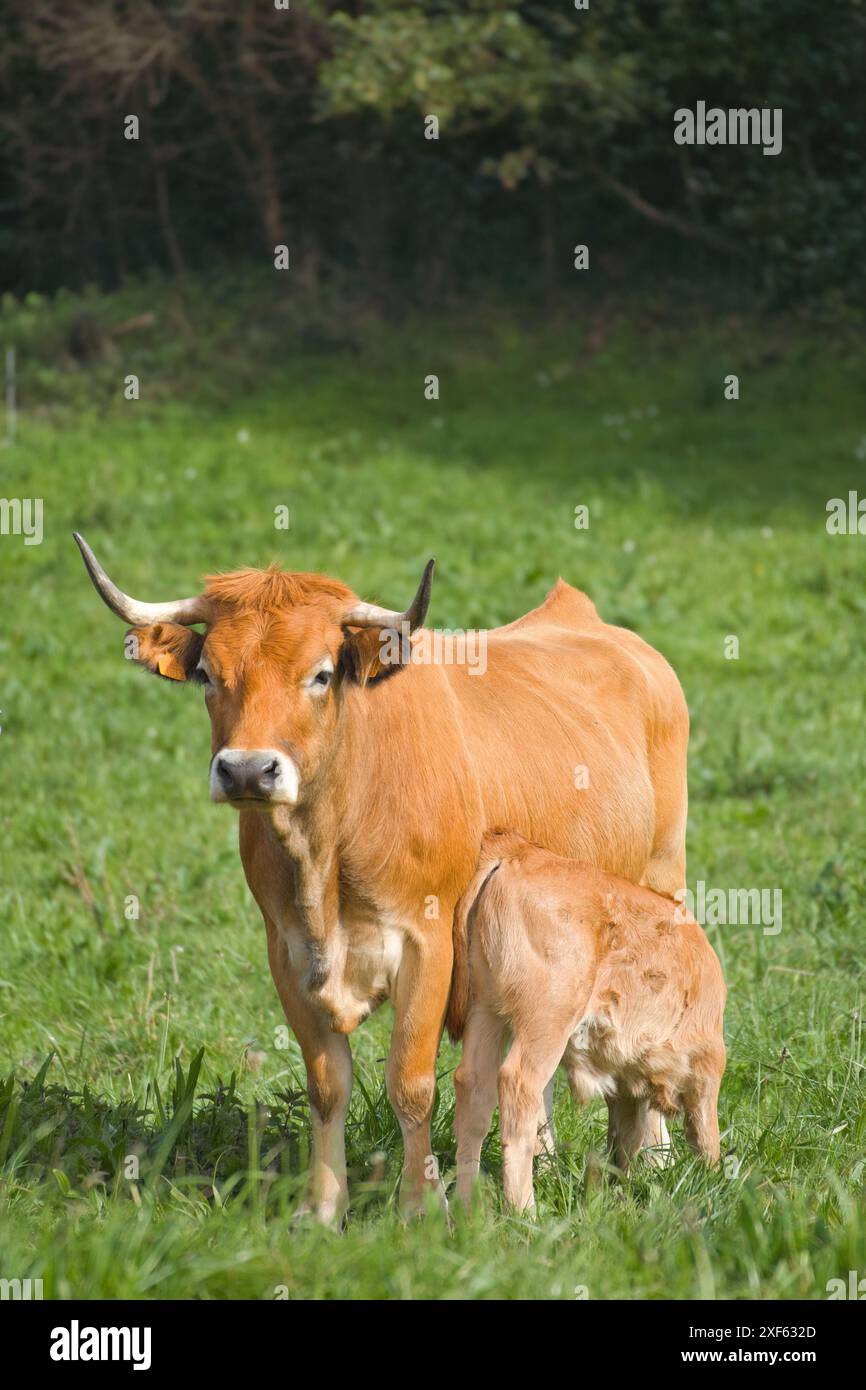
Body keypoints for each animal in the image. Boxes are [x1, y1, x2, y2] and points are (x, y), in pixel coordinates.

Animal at [74, 533, 689, 1222]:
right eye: (208, 673)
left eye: (320, 674)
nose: (248, 770)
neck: (326, 854)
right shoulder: (287, 952)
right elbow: (327, 1086)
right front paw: (321, 1210)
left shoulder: (428, 946)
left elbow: (411, 1084)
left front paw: (420, 1207)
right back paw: (546, 1156)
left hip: (660, 883)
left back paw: (654, 1155)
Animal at [451, 830, 725, 1212]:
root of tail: (520, 851)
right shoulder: (707, 1060)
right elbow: (705, 1130)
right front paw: (713, 1181)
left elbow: (627, 1135)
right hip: (547, 1017)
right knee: (518, 1087)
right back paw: (525, 1210)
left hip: (485, 1011)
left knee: (473, 1091)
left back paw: (465, 1208)